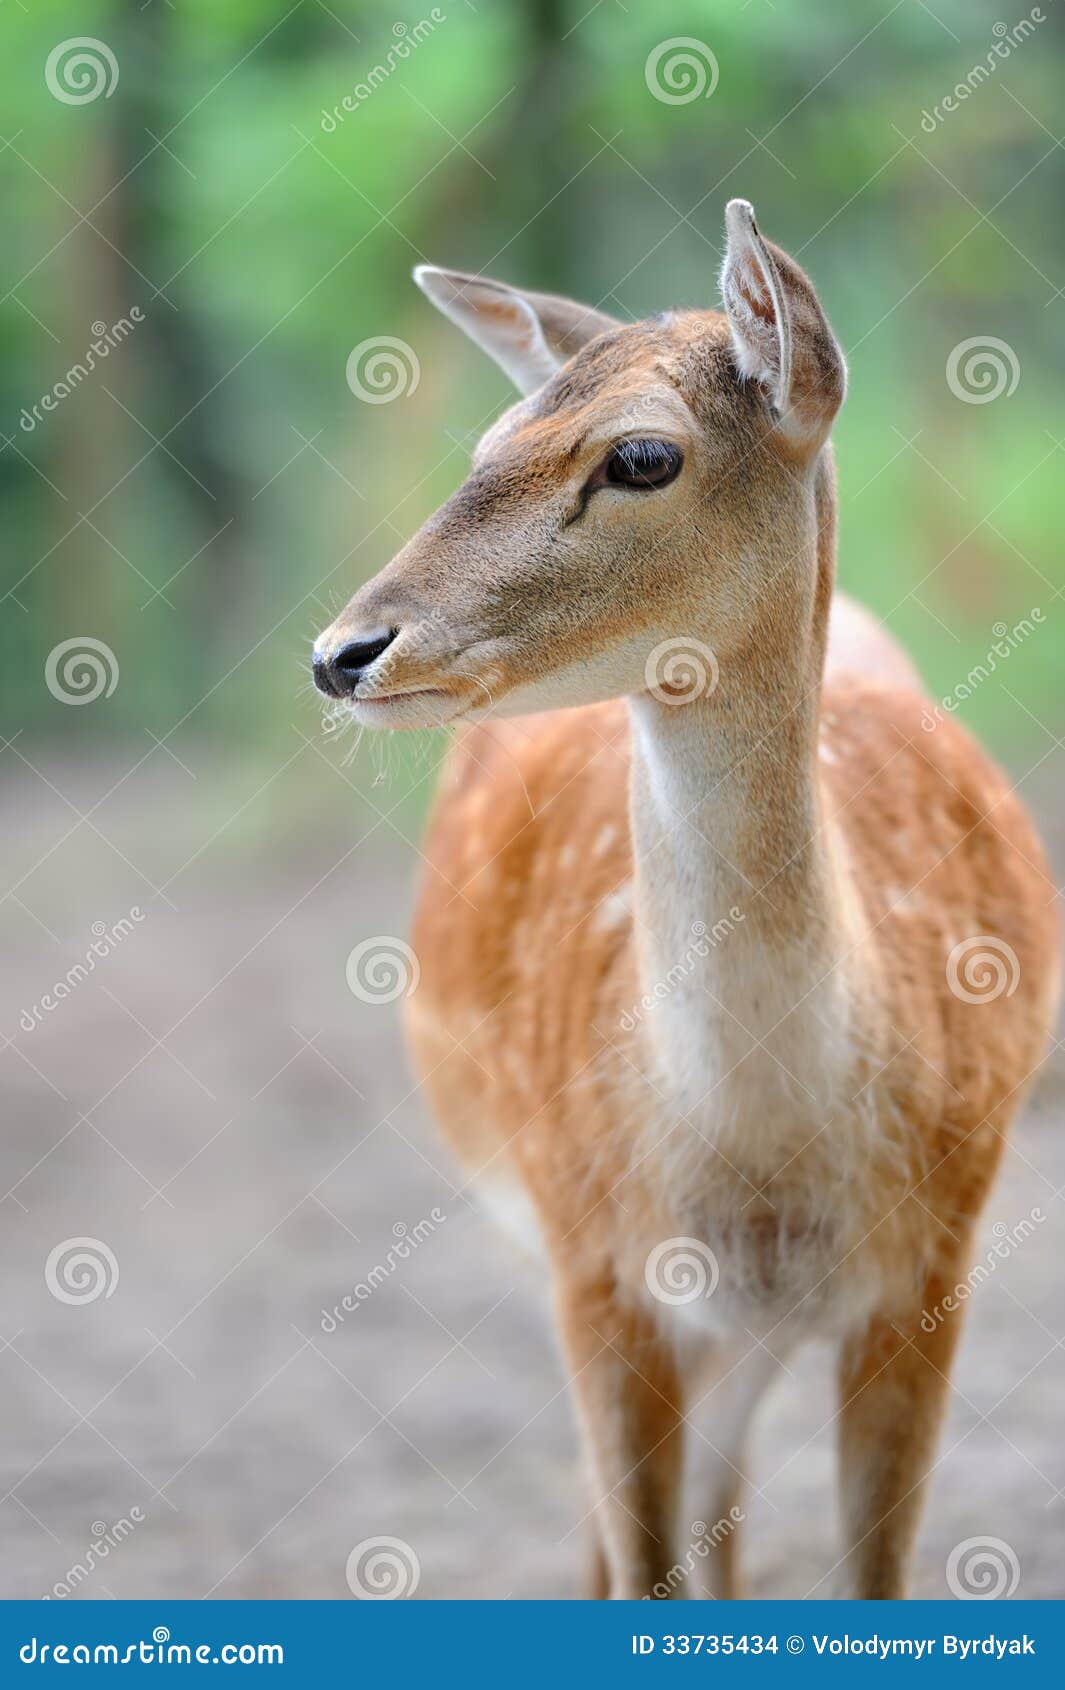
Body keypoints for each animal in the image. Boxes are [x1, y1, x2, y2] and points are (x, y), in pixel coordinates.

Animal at [312, 200, 1059, 1600]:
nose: (342, 652)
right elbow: (639, 1560)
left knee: (721, 1501)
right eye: (489, 440)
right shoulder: (589, 1257)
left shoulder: (930, 1264)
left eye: (643, 455)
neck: (759, 1163)